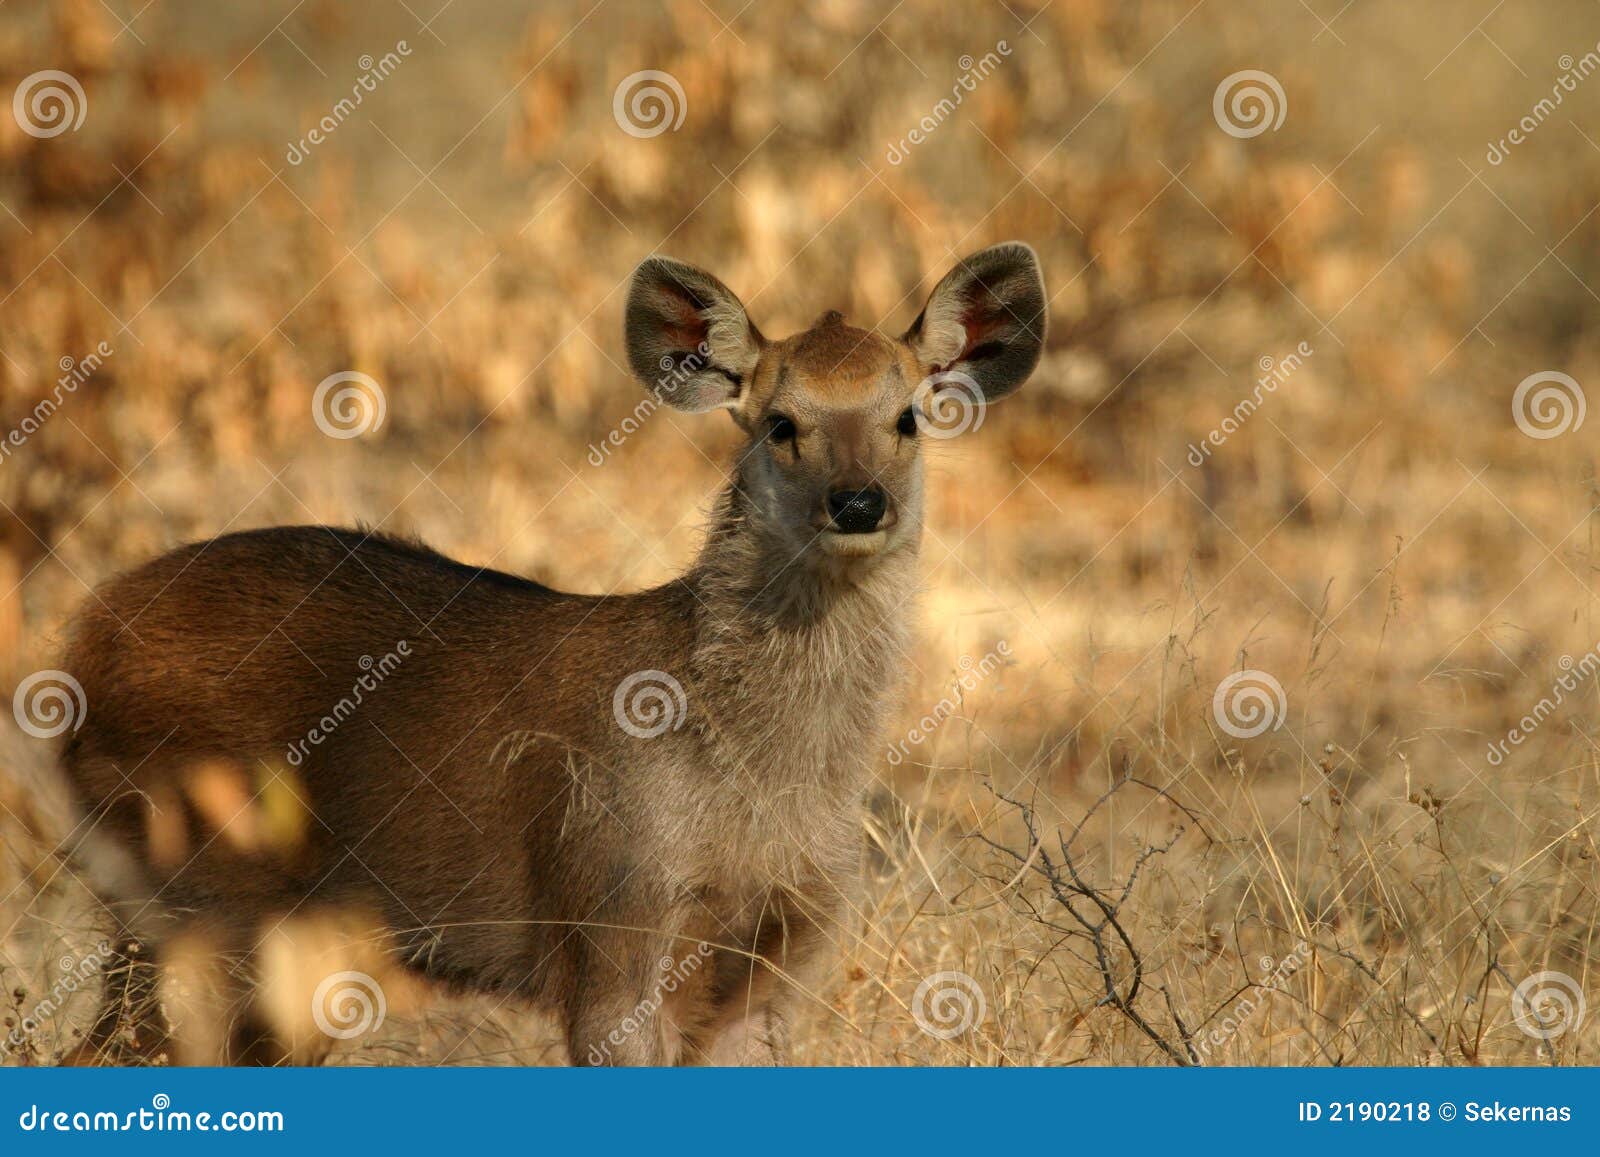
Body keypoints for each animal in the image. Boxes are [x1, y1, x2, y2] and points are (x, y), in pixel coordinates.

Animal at [56, 242, 1046, 1065]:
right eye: (779, 421)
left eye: (908, 417)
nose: (858, 501)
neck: (766, 784)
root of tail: (82, 638)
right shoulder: (612, 918)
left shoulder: (779, 957)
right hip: (189, 887)